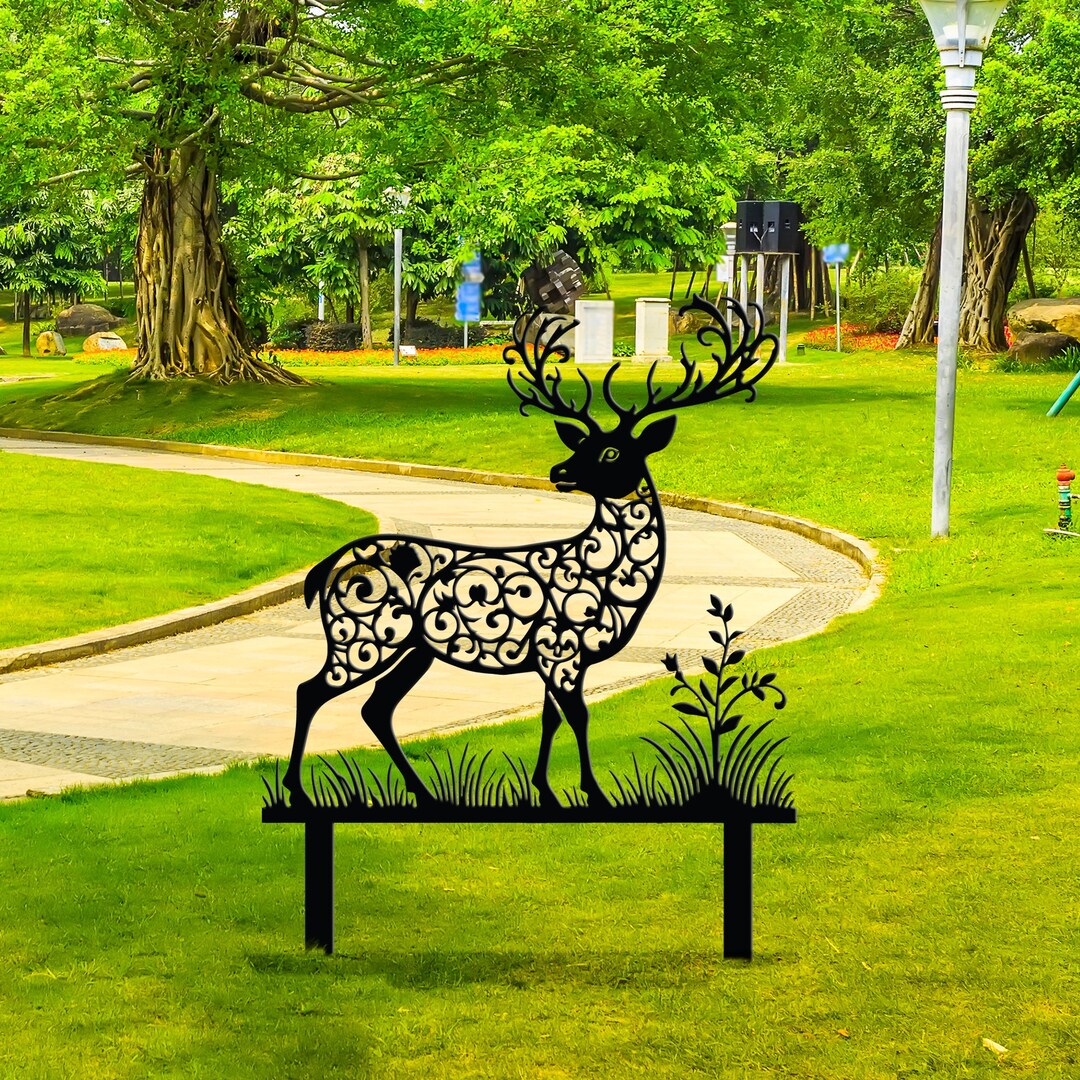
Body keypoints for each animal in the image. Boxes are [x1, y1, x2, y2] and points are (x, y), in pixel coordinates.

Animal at [284, 295, 778, 810]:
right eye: (587, 444)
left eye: (612, 452)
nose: (559, 471)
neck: (606, 579)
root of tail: (326, 570)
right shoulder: (563, 650)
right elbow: (578, 716)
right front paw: (593, 793)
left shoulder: (550, 655)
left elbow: (550, 717)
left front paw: (545, 790)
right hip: (362, 634)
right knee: (310, 690)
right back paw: (297, 791)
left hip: (414, 646)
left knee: (376, 706)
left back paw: (424, 794)